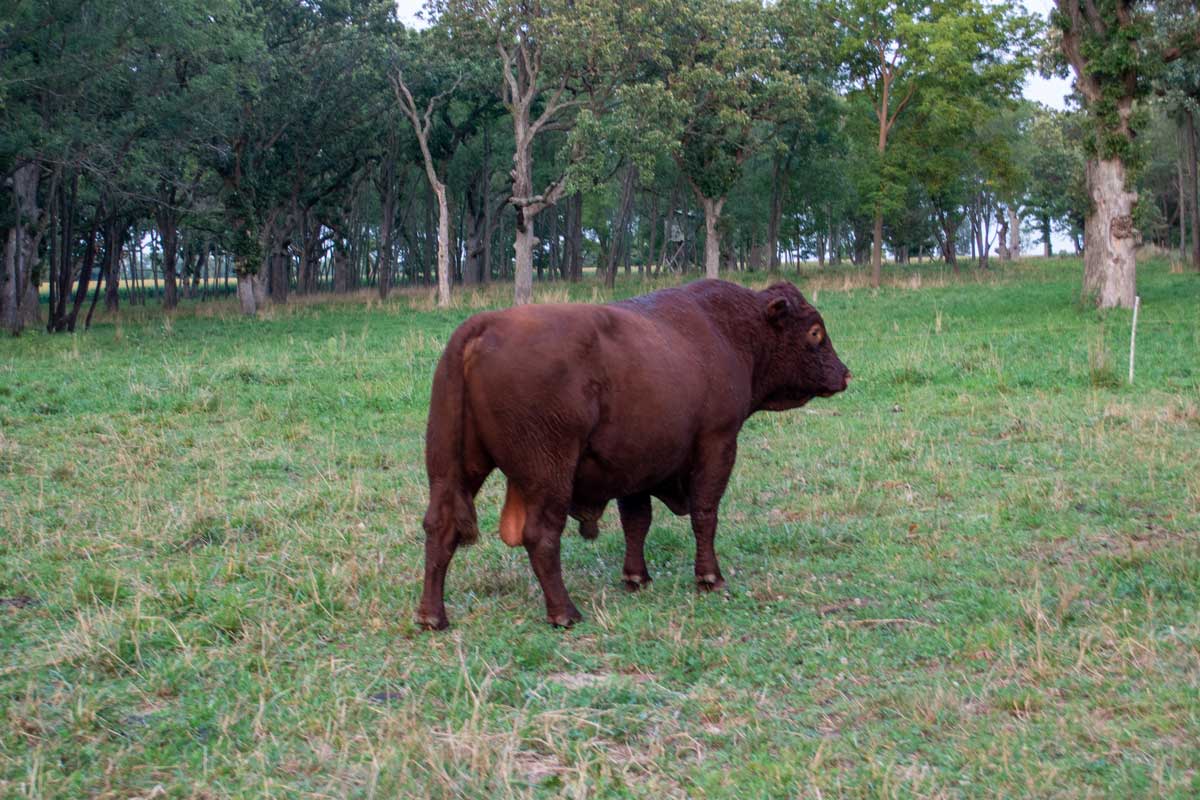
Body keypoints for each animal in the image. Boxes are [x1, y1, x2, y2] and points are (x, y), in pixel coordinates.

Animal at [417, 279, 850, 629]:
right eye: (815, 332)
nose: (845, 373)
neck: (730, 332)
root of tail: (482, 326)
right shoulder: (718, 443)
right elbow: (705, 514)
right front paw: (710, 578)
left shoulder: (636, 465)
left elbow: (637, 522)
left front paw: (636, 577)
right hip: (548, 473)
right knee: (541, 536)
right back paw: (564, 613)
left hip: (454, 469)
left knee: (441, 527)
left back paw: (432, 616)